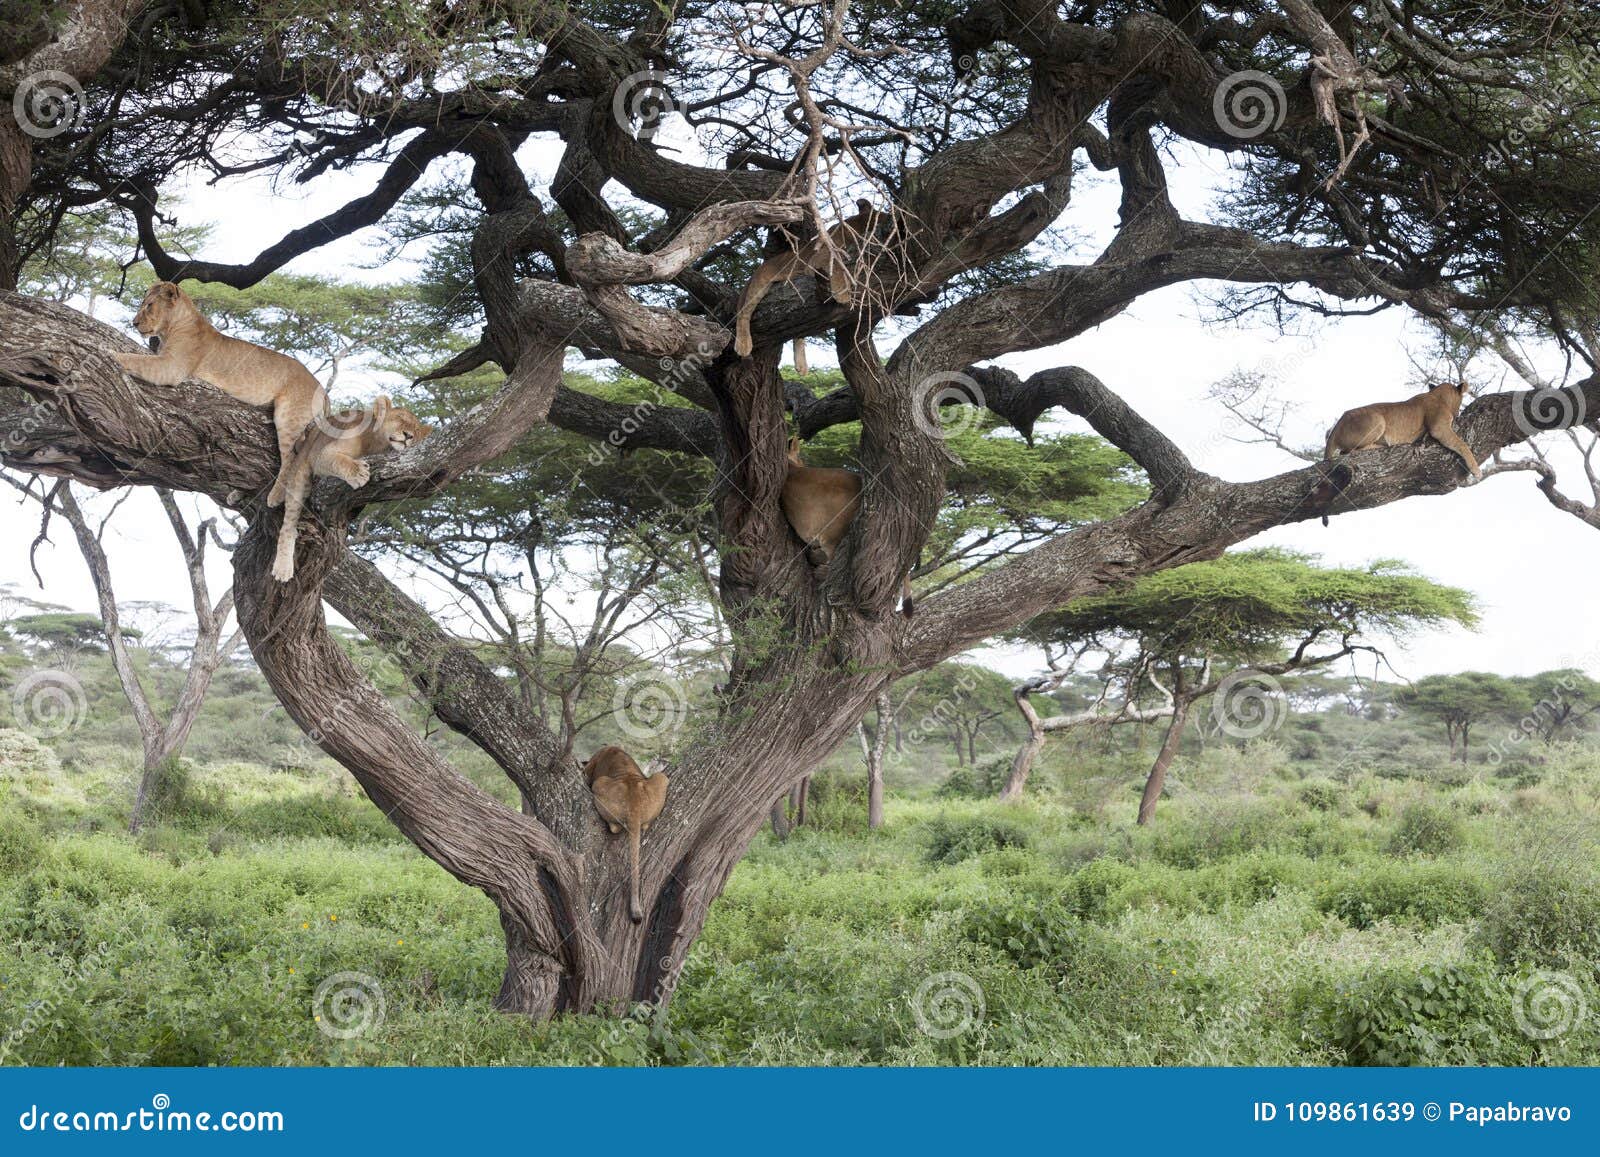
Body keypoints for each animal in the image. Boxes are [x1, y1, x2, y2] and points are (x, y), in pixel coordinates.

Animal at [113, 281, 326, 495]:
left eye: (149, 305)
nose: (134, 323)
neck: (173, 326)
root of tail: (322, 388)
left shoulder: (171, 367)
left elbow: (136, 359)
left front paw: (110, 353)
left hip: (289, 417)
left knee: (291, 459)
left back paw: (274, 497)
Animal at [267, 396, 431, 582]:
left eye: (416, 430)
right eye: (400, 418)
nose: (408, 435)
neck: (377, 446)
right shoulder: (323, 455)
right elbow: (339, 461)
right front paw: (358, 473)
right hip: (301, 472)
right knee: (288, 523)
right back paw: (283, 567)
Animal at [732, 199, 879, 359]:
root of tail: (759, 268)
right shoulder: (818, 259)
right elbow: (837, 265)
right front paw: (843, 295)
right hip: (759, 285)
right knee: (744, 313)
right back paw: (743, 345)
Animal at [1318, 382, 1480, 525]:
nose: (1458, 414)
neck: (1438, 395)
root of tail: (1338, 423)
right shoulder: (1439, 428)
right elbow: (1462, 445)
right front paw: (1476, 470)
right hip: (1378, 420)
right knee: (1348, 451)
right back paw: (1380, 445)